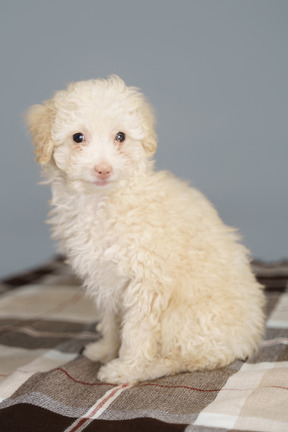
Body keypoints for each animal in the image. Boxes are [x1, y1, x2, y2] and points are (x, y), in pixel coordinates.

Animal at [27, 75, 266, 384]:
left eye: (121, 137)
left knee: (194, 359)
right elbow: (112, 321)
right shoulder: (105, 277)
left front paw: (125, 368)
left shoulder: (147, 280)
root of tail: (246, 340)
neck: (103, 202)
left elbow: (136, 332)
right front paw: (106, 349)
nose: (103, 169)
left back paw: (153, 368)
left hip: (187, 319)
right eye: (78, 137)